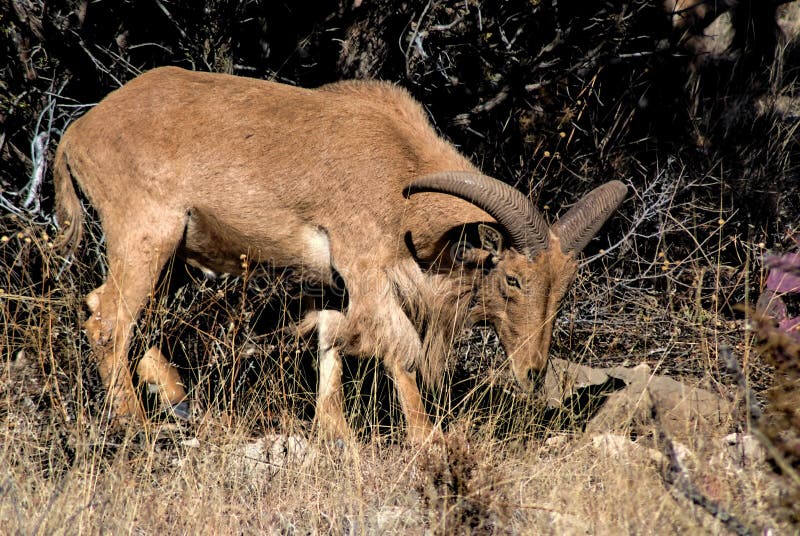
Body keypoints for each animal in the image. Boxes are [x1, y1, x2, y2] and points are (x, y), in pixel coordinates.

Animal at [54, 66, 627, 444]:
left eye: (563, 289)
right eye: (512, 279)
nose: (533, 372)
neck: (400, 180)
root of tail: (76, 134)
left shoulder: (337, 281)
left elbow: (331, 333)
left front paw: (335, 431)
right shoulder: (366, 265)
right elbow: (399, 348)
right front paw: (425, 436)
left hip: (174, 254)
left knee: (136, 322)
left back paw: (186, 407)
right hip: (145, 232)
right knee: (108, 319)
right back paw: (134, 421)